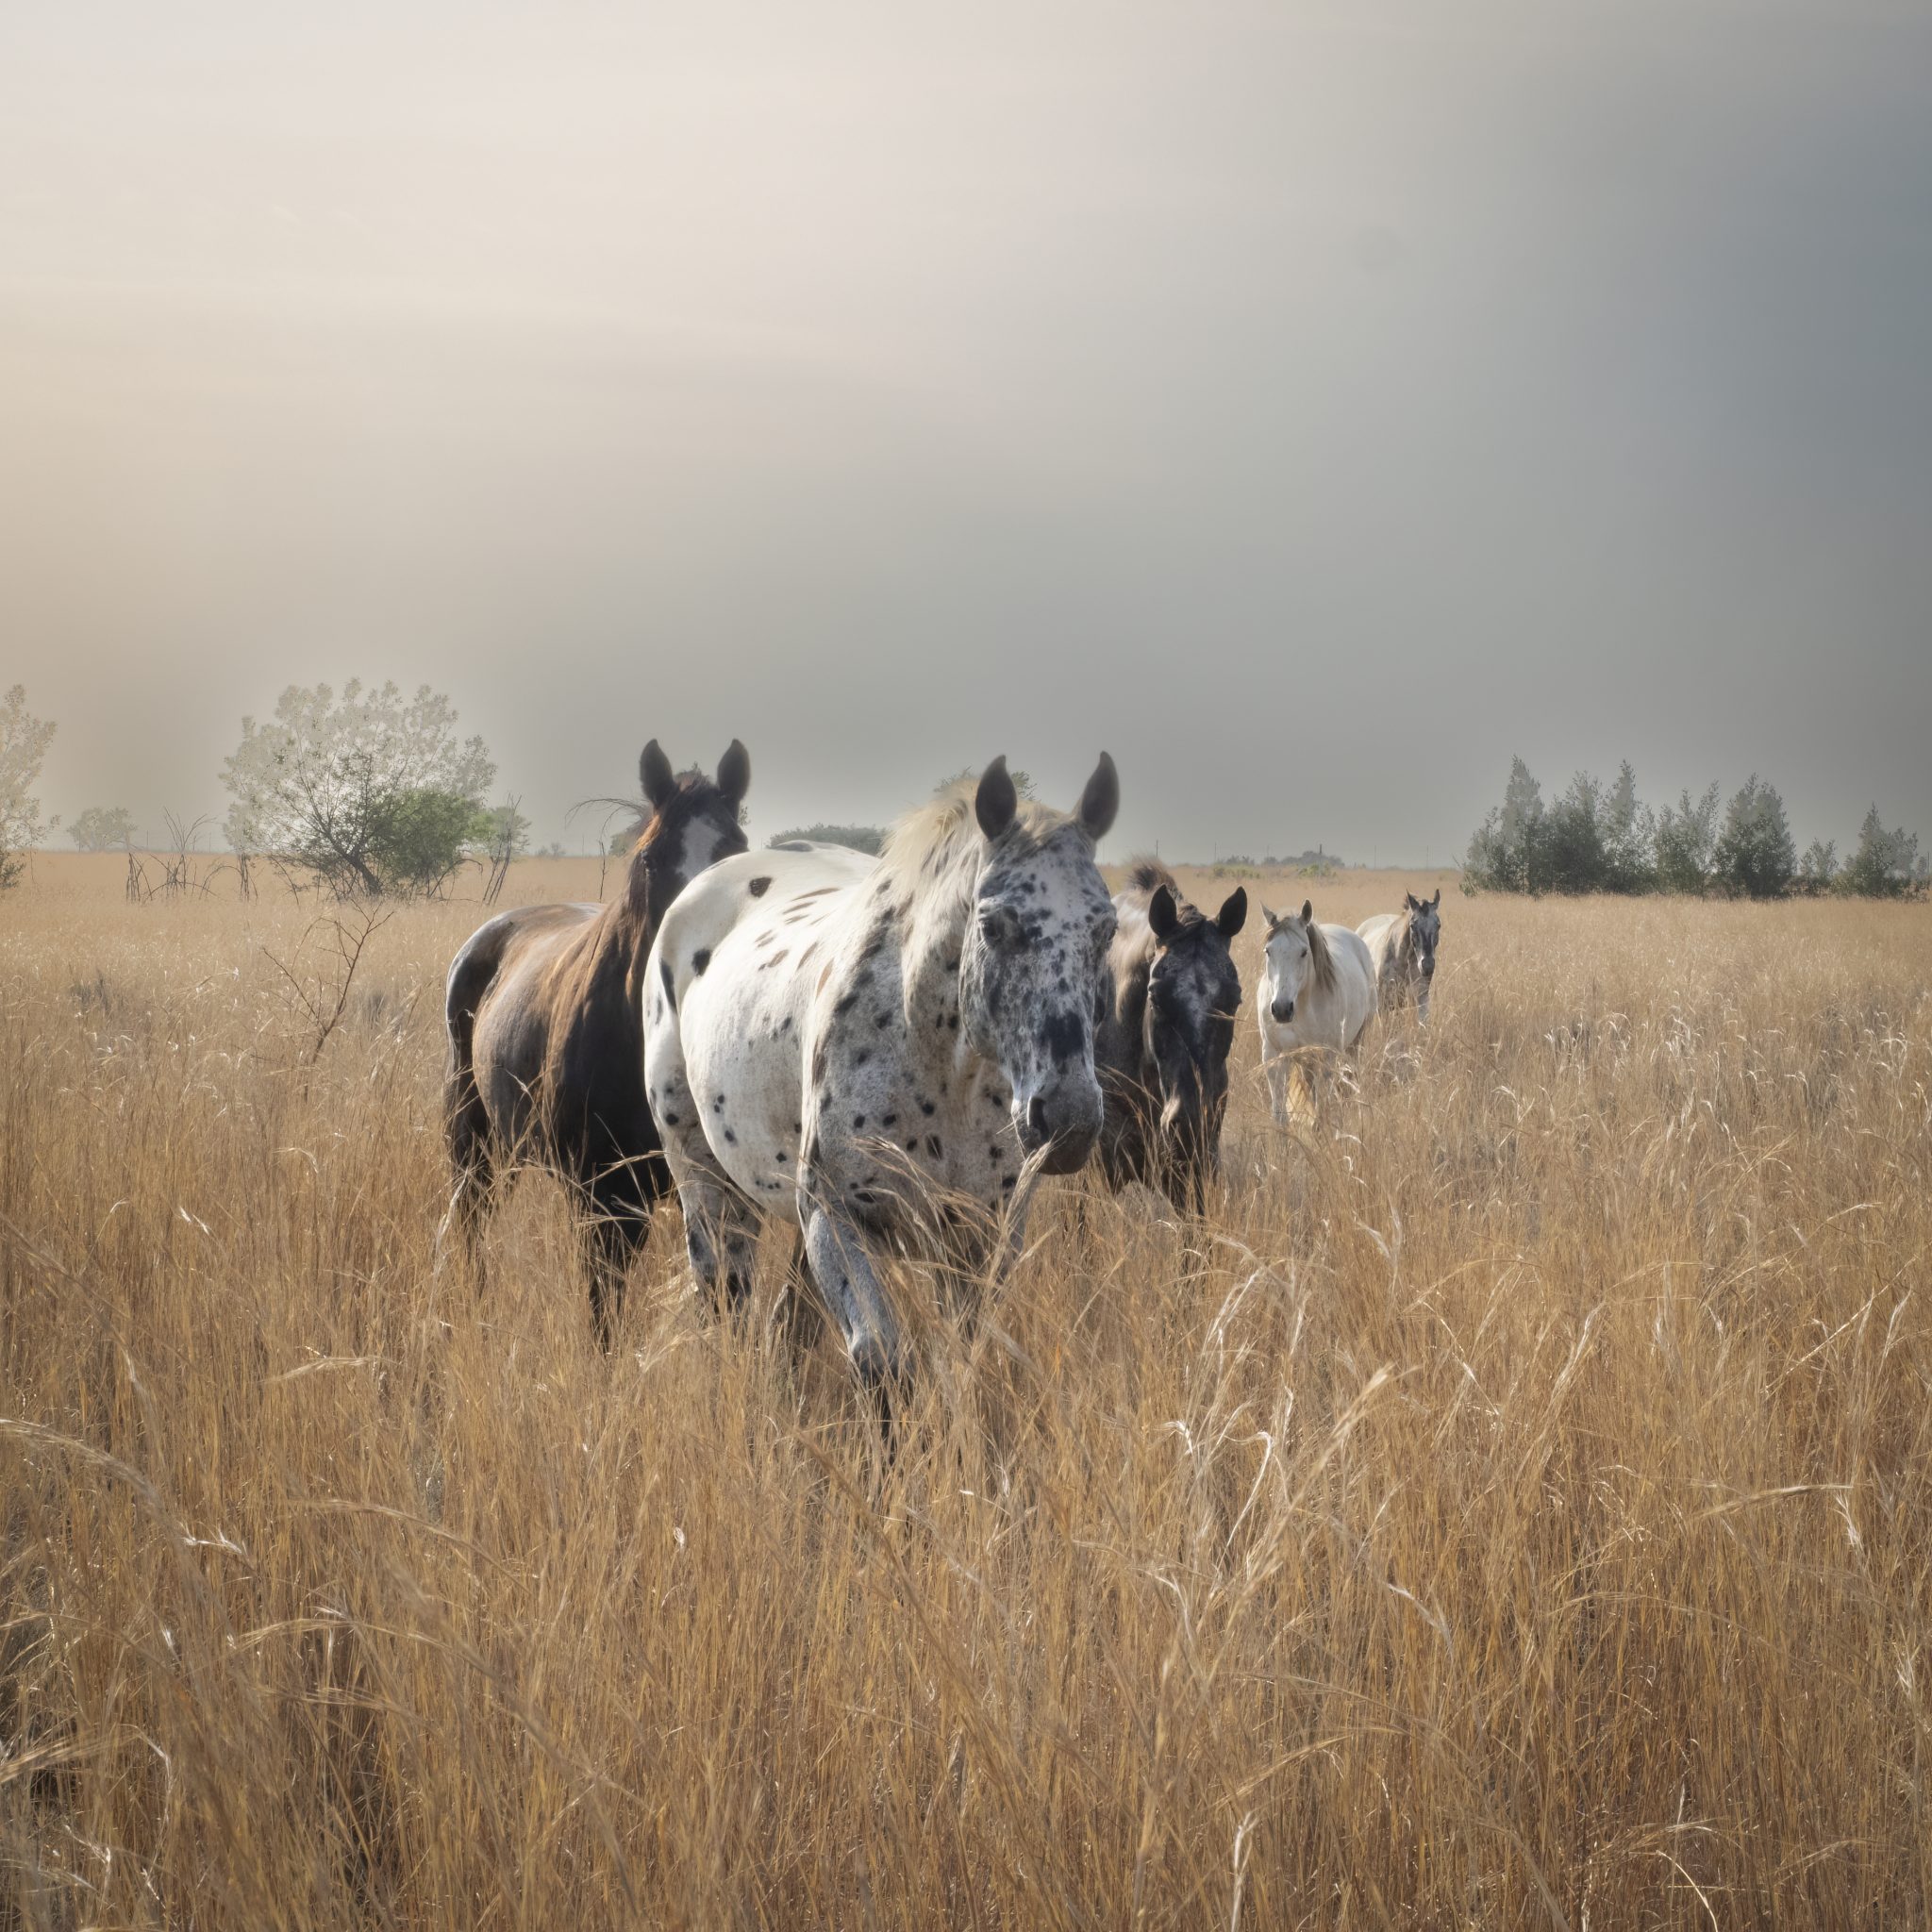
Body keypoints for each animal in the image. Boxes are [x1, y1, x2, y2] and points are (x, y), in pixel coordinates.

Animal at [441, 739, 750, 1344]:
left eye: (740, 856)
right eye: (650, 859)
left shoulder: (714, 1191)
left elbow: (723, 1294)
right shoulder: (602, 1195)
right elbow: (604, 1307)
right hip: (476, 1142)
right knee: (472, 1221)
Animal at [642, 753, 1120, 1400]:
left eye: (1107, 930)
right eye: (994, 926)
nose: (1069, 1120)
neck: (943, 1073)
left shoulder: (981, 1238)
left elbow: (957, 1365)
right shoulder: (836, 1218)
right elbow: (882, 1364)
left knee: (785, 1323)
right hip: (704, 1179)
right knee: (724, 1302)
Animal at [1256, 899, 1377, 1124]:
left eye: (1304, 952)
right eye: (1268, 951)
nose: (1282, 1009)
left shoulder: (1327, 1058)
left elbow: (1322, 1109)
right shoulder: (1273, 1055)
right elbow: (1279, 1114)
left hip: (1357, 1040)